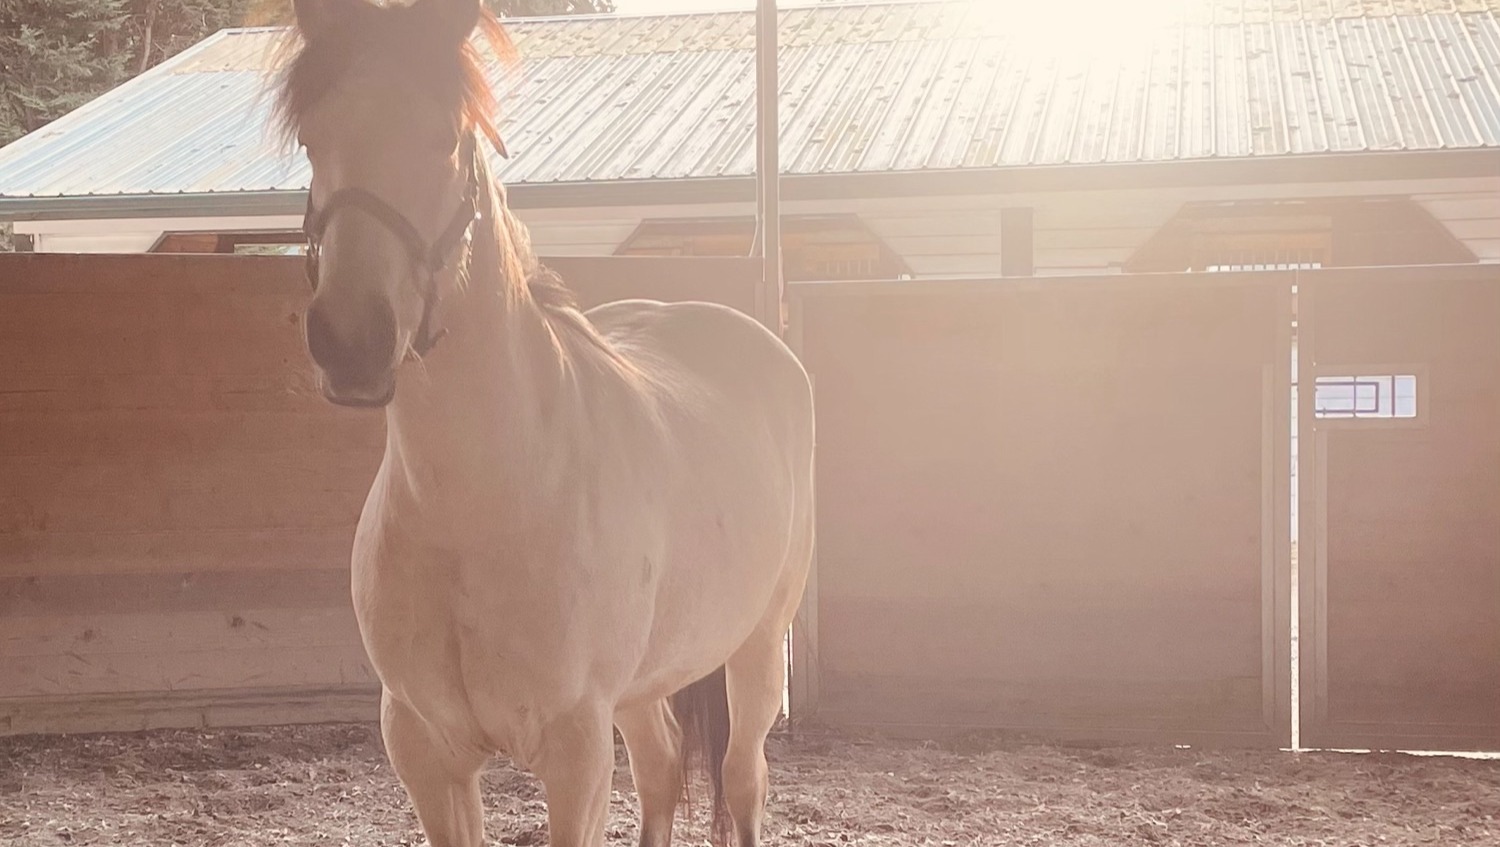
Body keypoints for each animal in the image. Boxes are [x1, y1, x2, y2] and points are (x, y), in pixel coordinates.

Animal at [270, 1, 816, 845]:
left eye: (448, 136)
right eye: (311, 138)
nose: (352, 339)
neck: (483, 503)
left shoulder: (576, 748)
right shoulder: (426, 748)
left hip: (756, 651)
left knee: (741, 778)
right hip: (643, 687)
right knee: (661, 766)